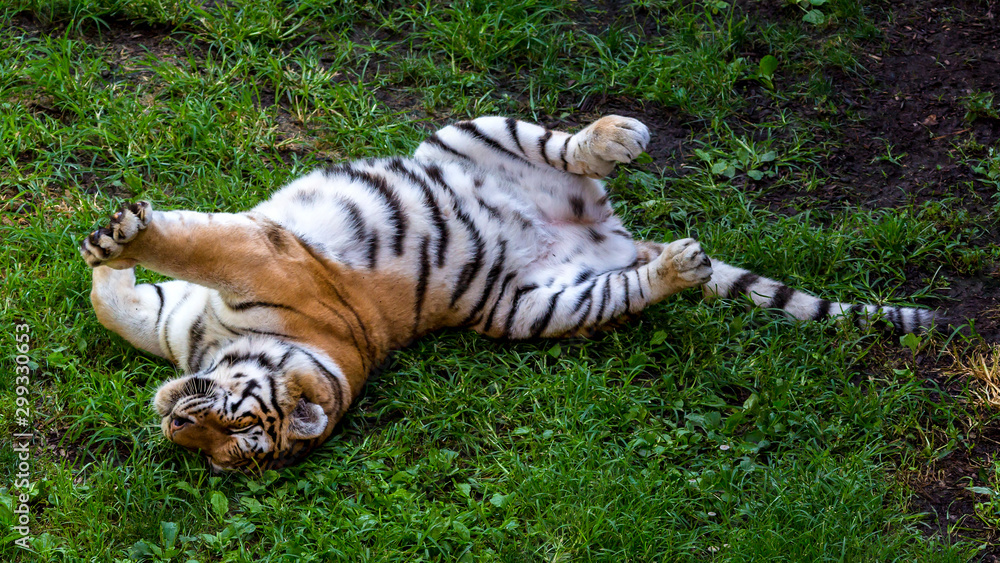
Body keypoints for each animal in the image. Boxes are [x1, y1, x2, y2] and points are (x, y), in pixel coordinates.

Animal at [79, 115, 940, 471]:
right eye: (211, 449)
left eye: (236, 430)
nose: (174, 422)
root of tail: (617, 236)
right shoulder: (177, 320)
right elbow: (115, 304)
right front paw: (106, 254)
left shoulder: (260, 257)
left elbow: (191, 241)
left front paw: (118, 237)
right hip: (485, 173)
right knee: (574, 159)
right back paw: (625, 153)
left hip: (537, 297)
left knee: (583, 166)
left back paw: (658, 219)